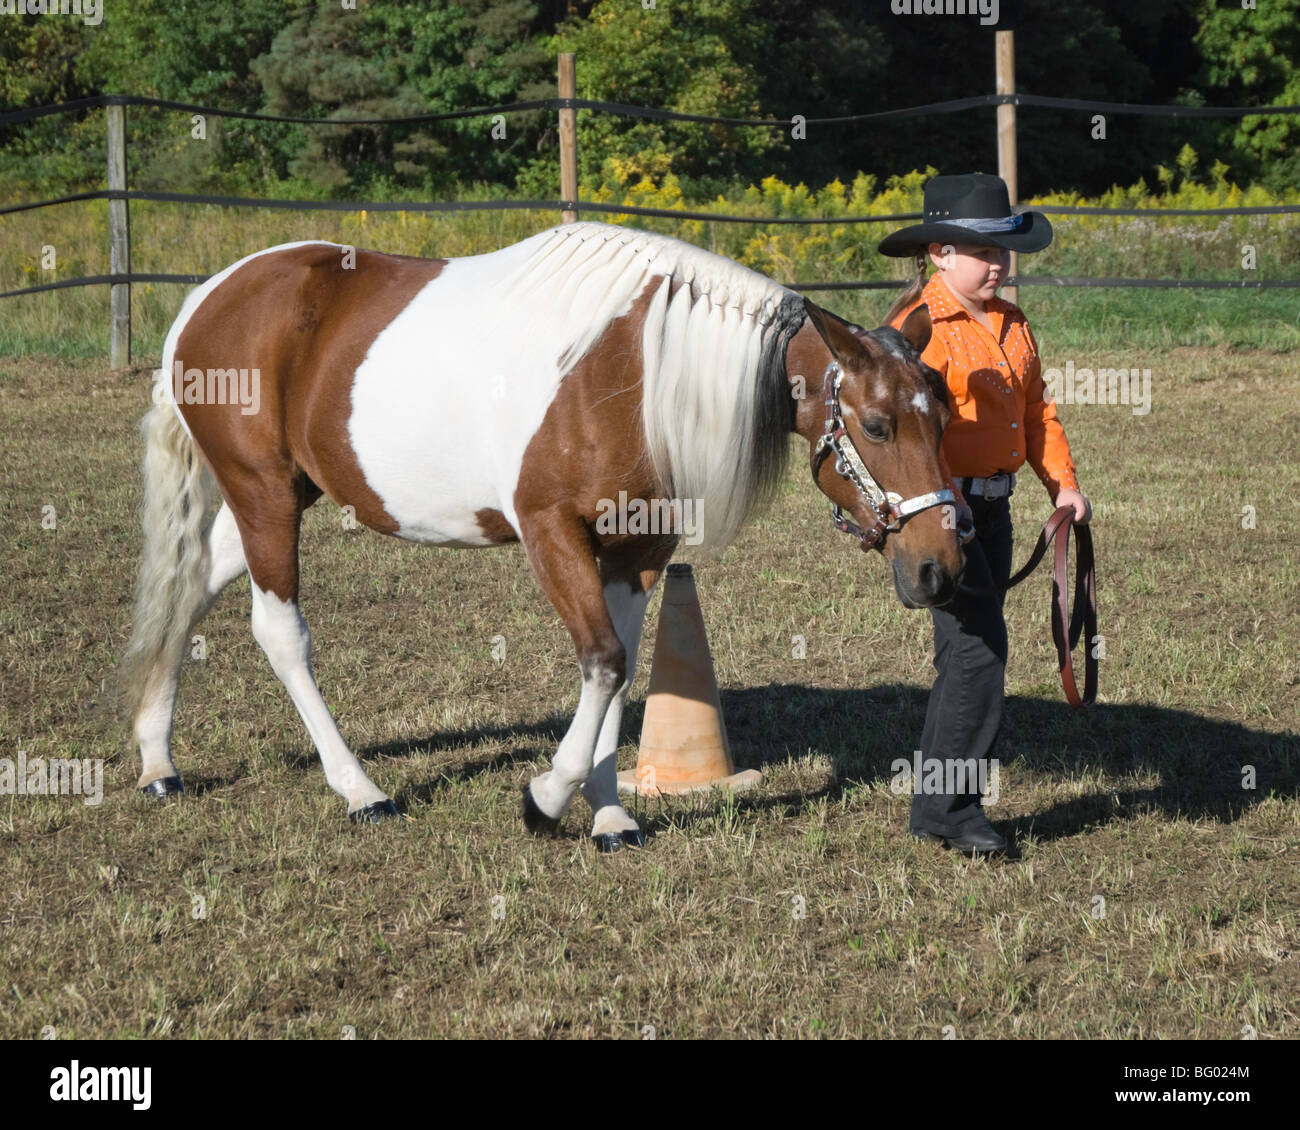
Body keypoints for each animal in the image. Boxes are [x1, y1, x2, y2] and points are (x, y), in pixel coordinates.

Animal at [117, 221, 963, 850]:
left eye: (943, 417)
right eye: (877, 424)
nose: (940, 569)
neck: (637, 368)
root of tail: (209, 296)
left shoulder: (639, 550)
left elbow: (621, 671)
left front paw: (610, 812)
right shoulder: (550, 531)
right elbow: (602, 661)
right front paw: (546, 797)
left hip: (286, 492)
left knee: (191, 586)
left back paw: (158, 760)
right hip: (262, 491)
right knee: (280, 631)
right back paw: (360, 790)